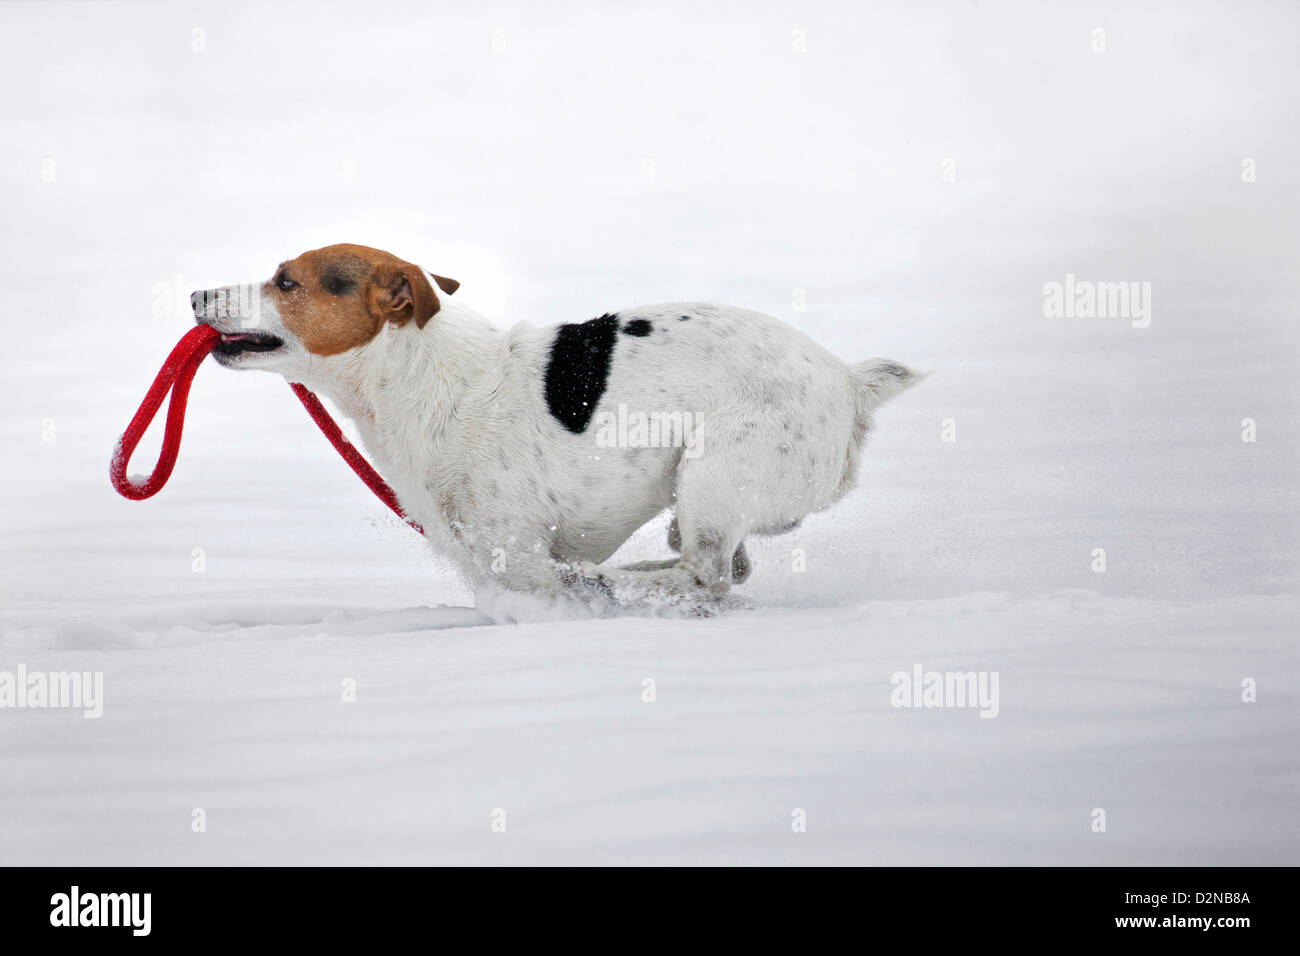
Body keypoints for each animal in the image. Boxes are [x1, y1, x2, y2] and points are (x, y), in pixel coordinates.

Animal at [195, 243, 925, 608]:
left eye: (286, 281)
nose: (196, 293)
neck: (419, 374)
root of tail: (849, 382)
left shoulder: (517, 564)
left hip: (715, 474)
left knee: (710, 576)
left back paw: (617, 582)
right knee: (724, 568)